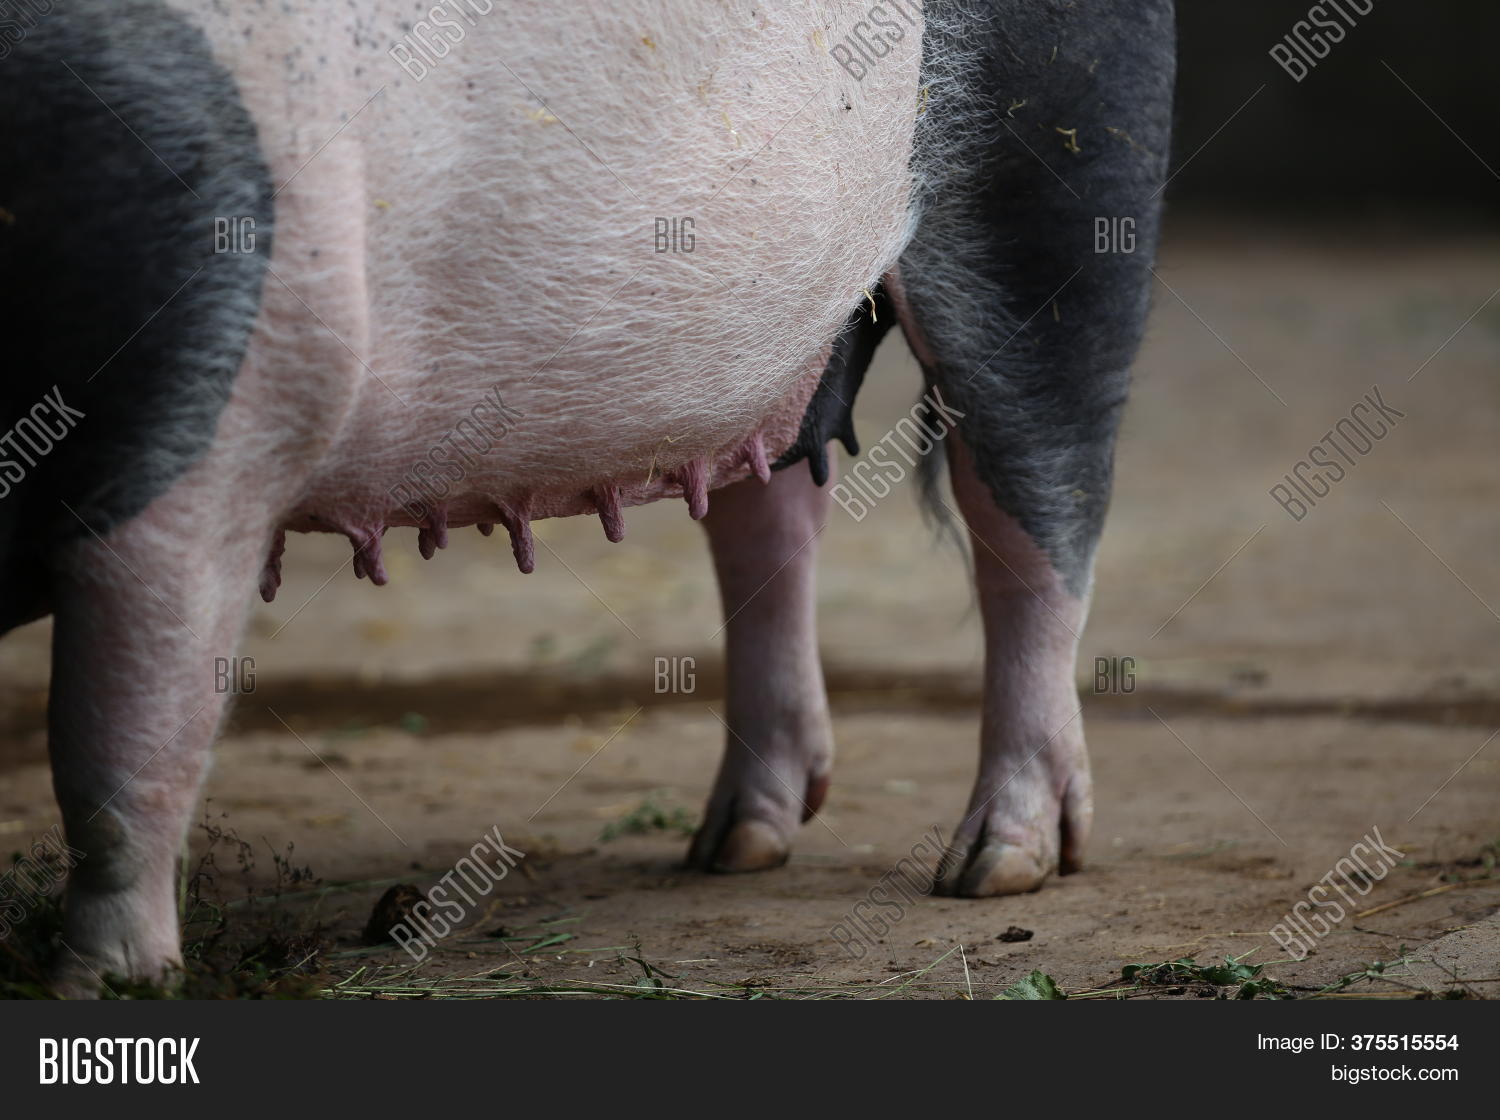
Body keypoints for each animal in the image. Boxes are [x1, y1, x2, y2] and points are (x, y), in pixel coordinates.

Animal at [0, 0, 1175, 992]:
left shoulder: (203, 421)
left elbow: (117, 751)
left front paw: (102, 985)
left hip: (1061, 177)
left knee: (1041, 498)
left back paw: (995, 868)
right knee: (768, 512)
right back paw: (732, 847)